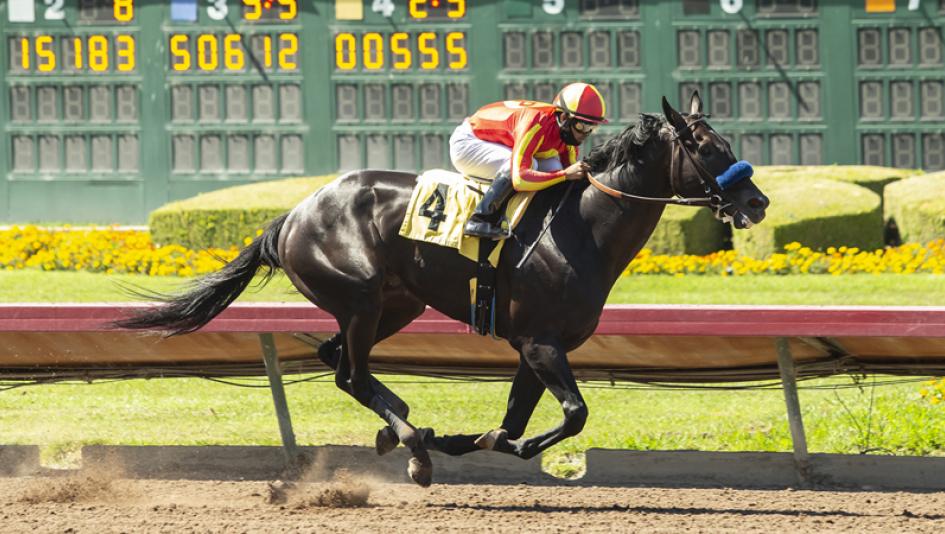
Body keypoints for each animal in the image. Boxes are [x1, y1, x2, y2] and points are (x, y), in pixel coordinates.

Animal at [115, 93, 769, 487]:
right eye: (707, 148)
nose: (757, 201)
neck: (583, 229)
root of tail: (292, 214)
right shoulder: (540, 343)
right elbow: (574, 415)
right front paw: (458, 440)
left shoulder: (535, 348)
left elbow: (513, 426)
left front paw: (468, 435)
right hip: (361, 297)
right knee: (349, 373)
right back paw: (414, 446)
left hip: (398, 303)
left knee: (339, 360)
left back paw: (403, 428)